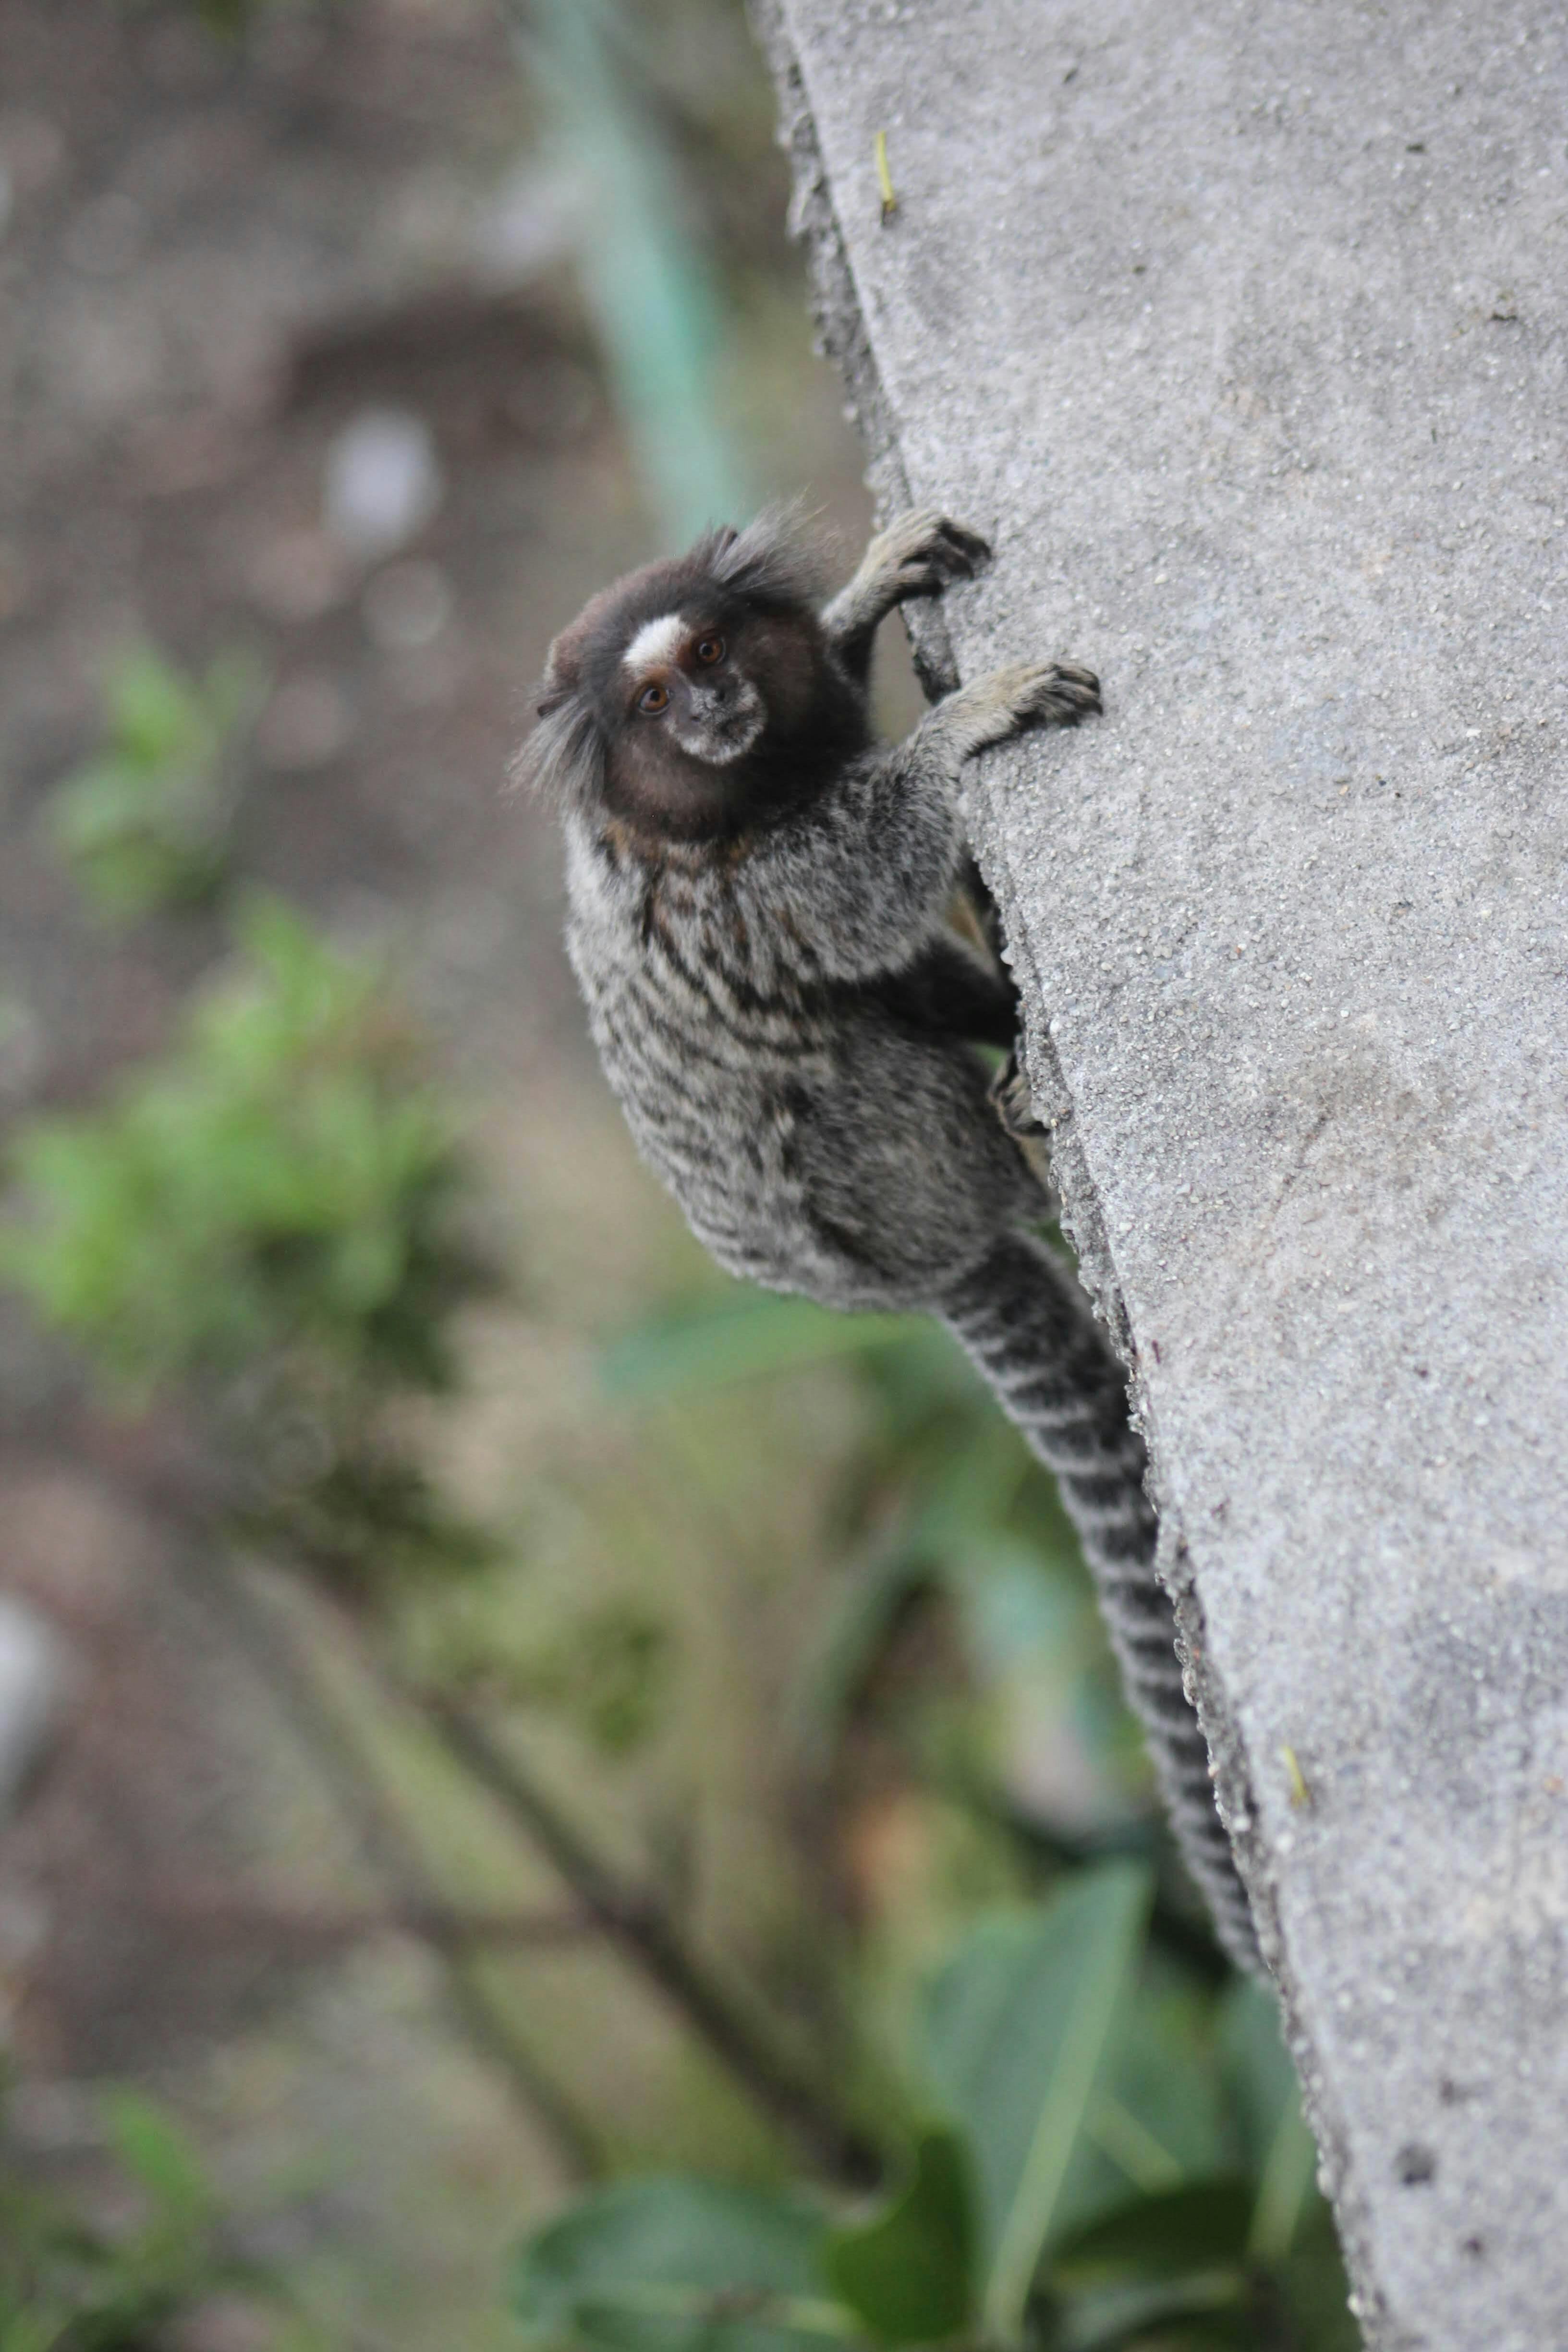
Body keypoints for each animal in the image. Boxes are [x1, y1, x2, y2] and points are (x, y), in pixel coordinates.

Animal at [516, 506, 1258, 1971]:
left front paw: (868, 596)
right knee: (849, 1062)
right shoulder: (746, 887)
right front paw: (969, 719)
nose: (711, 713)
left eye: (711, 653)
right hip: (883, 1185)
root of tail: (916, 1282)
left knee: (891, 994)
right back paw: (1017, 1129)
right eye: (649, 704)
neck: (727, 800)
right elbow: (863, 881)